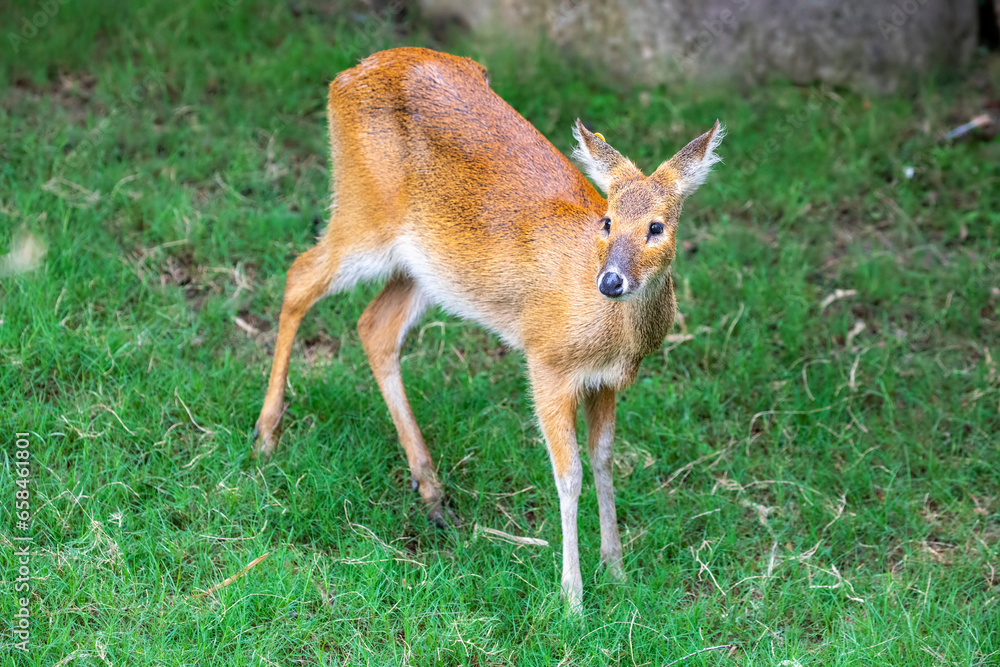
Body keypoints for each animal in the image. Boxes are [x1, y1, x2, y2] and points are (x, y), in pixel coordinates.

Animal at [252, 47, 724, 611]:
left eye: (657, 226)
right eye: (608, 220)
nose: (611, 280)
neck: (608, 331)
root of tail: (345, 76)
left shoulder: (606, 383)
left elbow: (604, 460)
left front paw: (617, 570)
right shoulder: (546, 362)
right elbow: (569, 474)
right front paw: (572, 597)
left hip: (427, 268)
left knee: (374, 326)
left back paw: (431, 491)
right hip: (362, 212)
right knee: (299, 276)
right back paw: (266, 435)